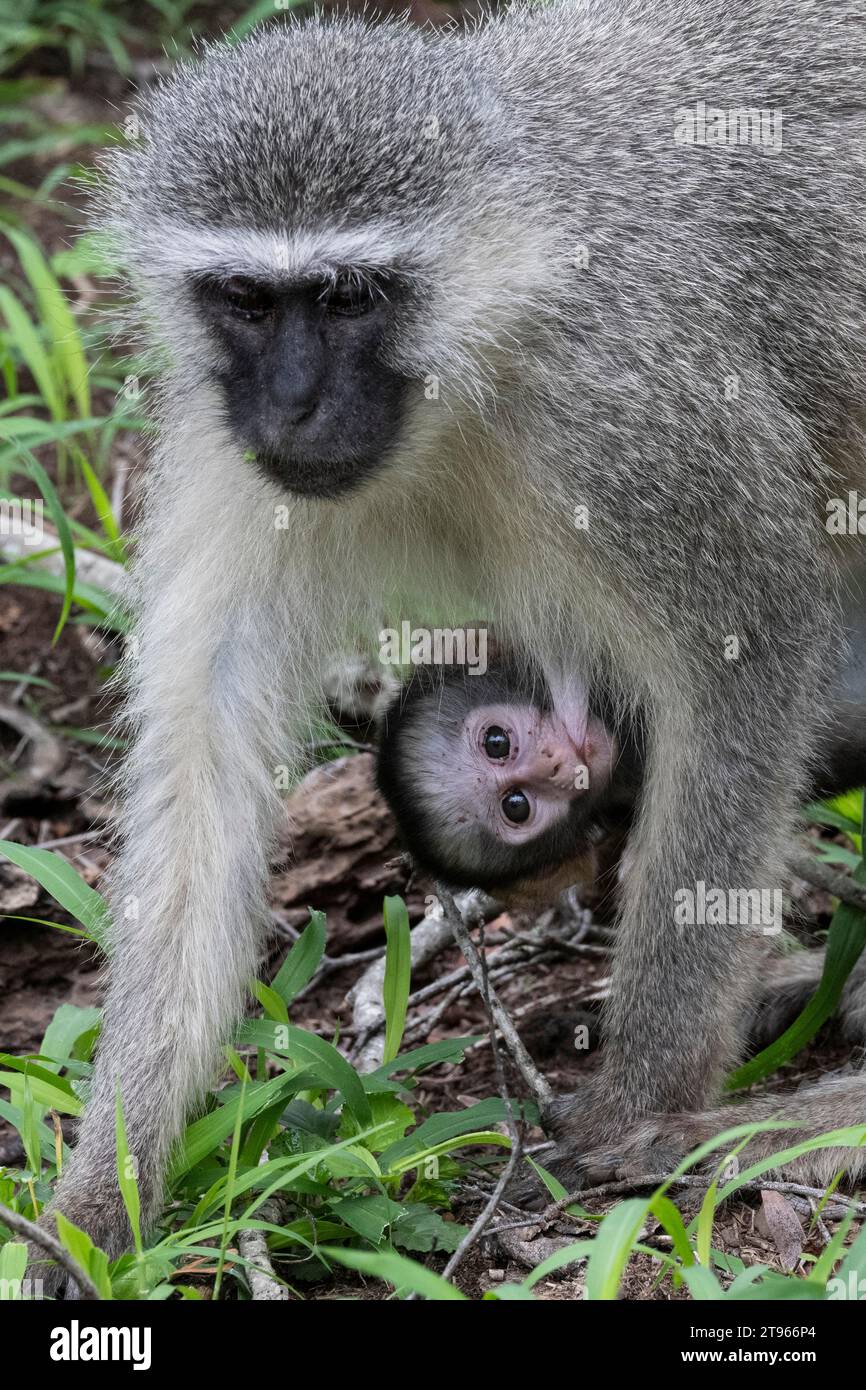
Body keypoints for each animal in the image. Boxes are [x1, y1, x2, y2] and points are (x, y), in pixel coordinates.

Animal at [31, 1, 866, 1283]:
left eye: (346, 297)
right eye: (248, 300)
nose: (291, 407)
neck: (481, 346)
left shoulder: (634, 415)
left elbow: (753, 657)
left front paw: (647, 1094)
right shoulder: (229, 444)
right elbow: (204, 745)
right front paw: (94, 1203)